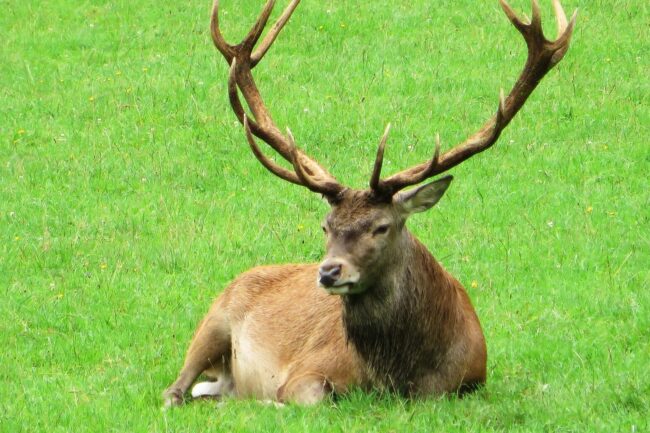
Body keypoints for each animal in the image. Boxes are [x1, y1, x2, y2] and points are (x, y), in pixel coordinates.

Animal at [163, 0, 576, 407]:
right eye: (326, 226)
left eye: (381, 226)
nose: (329, 272)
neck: (395, 379)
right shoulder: (305, 370)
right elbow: (308, 397)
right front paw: (272, 402)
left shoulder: (472, 381)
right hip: (214, 320)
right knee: (175, 390)